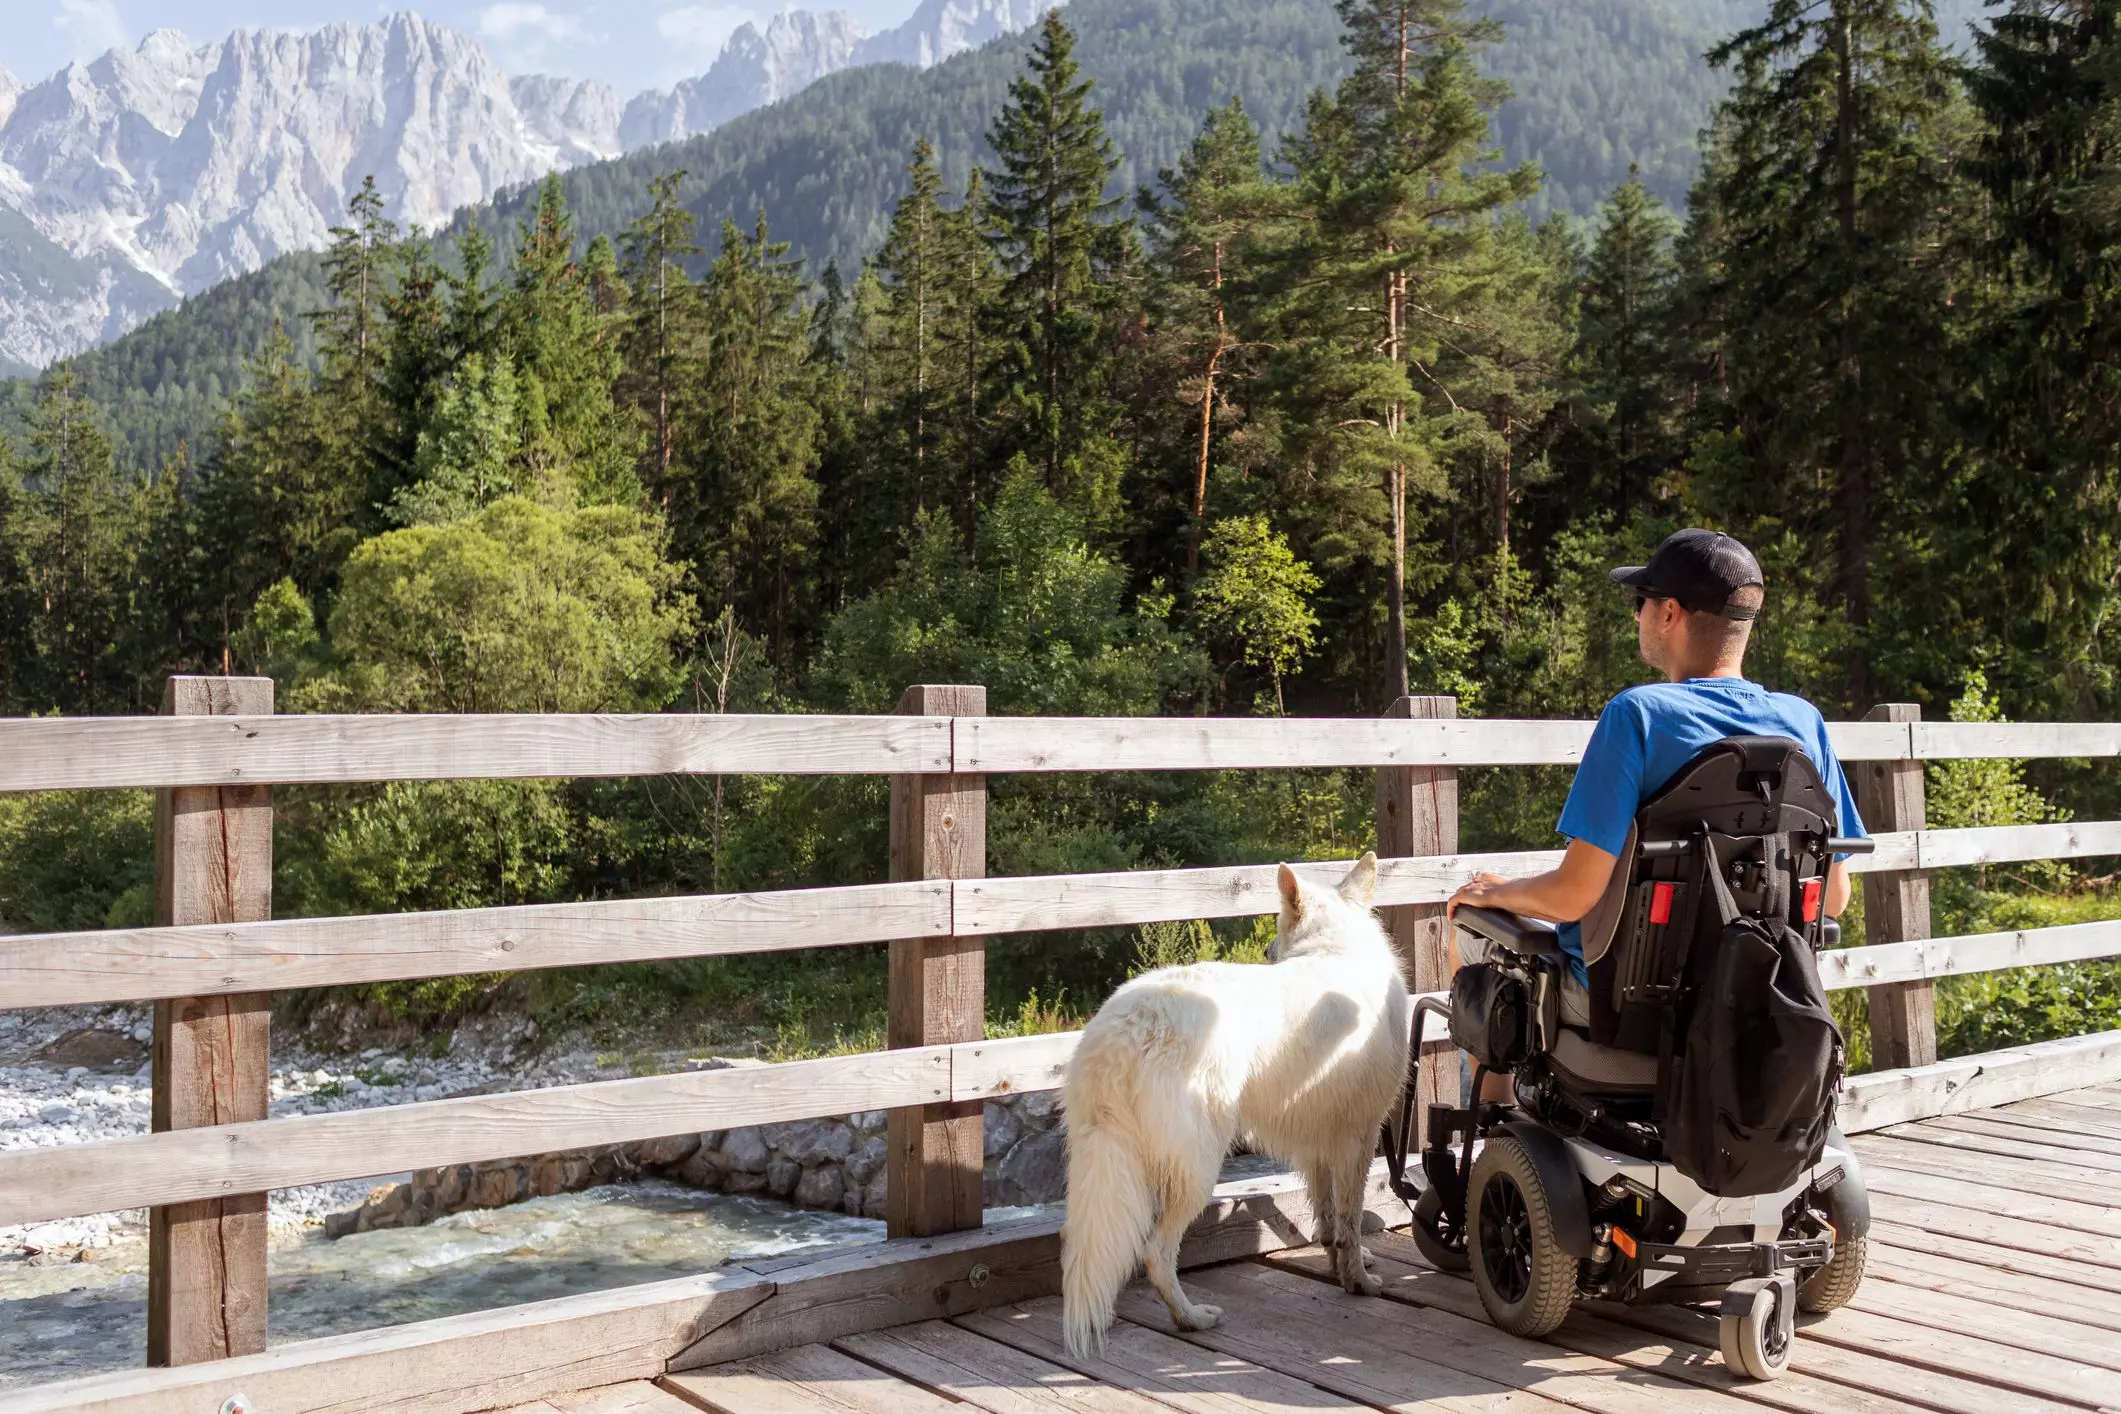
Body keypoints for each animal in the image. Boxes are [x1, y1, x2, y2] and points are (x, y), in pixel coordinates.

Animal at [1060, 852, 1408, 1356]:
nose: (1265, 951)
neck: (1334, 947)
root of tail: (1131, 1025)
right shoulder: (1357, 1138)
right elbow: (1350, 1218)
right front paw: (1358, 1281)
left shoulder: (1318, 1143)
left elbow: (1328, 1219)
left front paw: (1340, 1262)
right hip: (1200, 1166)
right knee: (1155, 1253)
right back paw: (1191, 1318)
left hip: (1107, 1162)